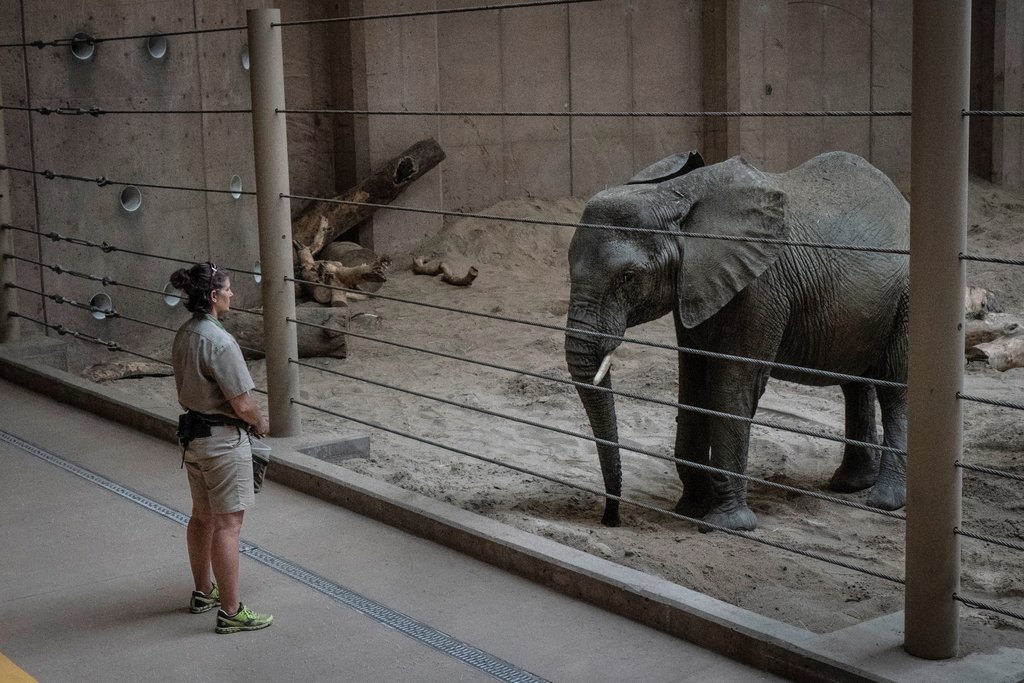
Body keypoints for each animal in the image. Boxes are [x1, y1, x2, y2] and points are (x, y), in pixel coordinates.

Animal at [564, 150, 909, 531]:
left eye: (627, 277)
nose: (610, 519)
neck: (674, 195)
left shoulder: (762, 288)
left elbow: (732, 388)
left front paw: (725, 524)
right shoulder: (696, 286)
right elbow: (693, 381)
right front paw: (689, 508)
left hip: (905, 297)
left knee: (894, 388)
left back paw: (884, 501)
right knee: (855, 382)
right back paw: (850, 484)